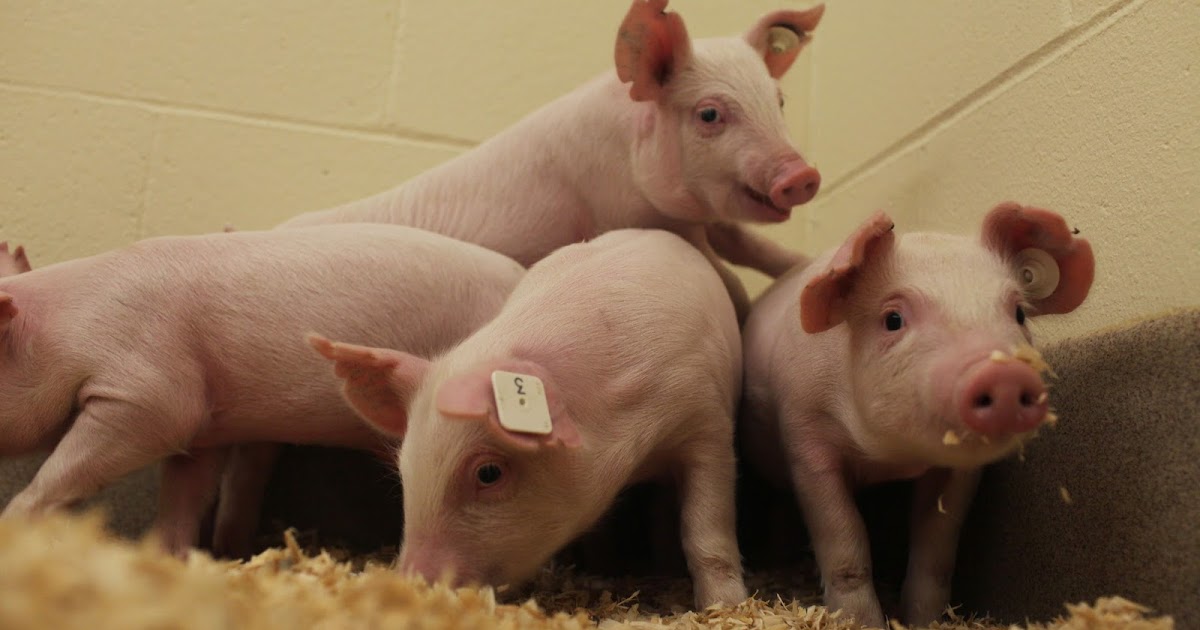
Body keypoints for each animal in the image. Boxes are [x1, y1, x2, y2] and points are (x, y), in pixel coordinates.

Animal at [0, 225, 524, 555]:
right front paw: (167, 557)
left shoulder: (151, 391)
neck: (64, 334)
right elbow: (184, 494)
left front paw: (13, 526)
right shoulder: (205, 426)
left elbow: (66, 467)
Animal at [279, 0, 826, 315]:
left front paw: (804, 264)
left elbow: (751, 245)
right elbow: (726, 274)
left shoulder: (706, 216)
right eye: (710, 114)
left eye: (778, 100)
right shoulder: (628, 211)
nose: (801, 174)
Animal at [308, 228, 747, 609]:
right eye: (405, 469)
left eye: (489, 473)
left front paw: (723, 606)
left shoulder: (707, 422)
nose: (413, 584)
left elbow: (706, 529)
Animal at [738, 203, 1095, 627]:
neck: (890, 460)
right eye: (893, 319)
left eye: (1019, 313)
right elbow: (845, 543)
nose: (1004, 372)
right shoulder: (805, 436)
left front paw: (926, 620)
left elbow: (936, 548)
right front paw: (864, 622)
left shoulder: (960, 472)